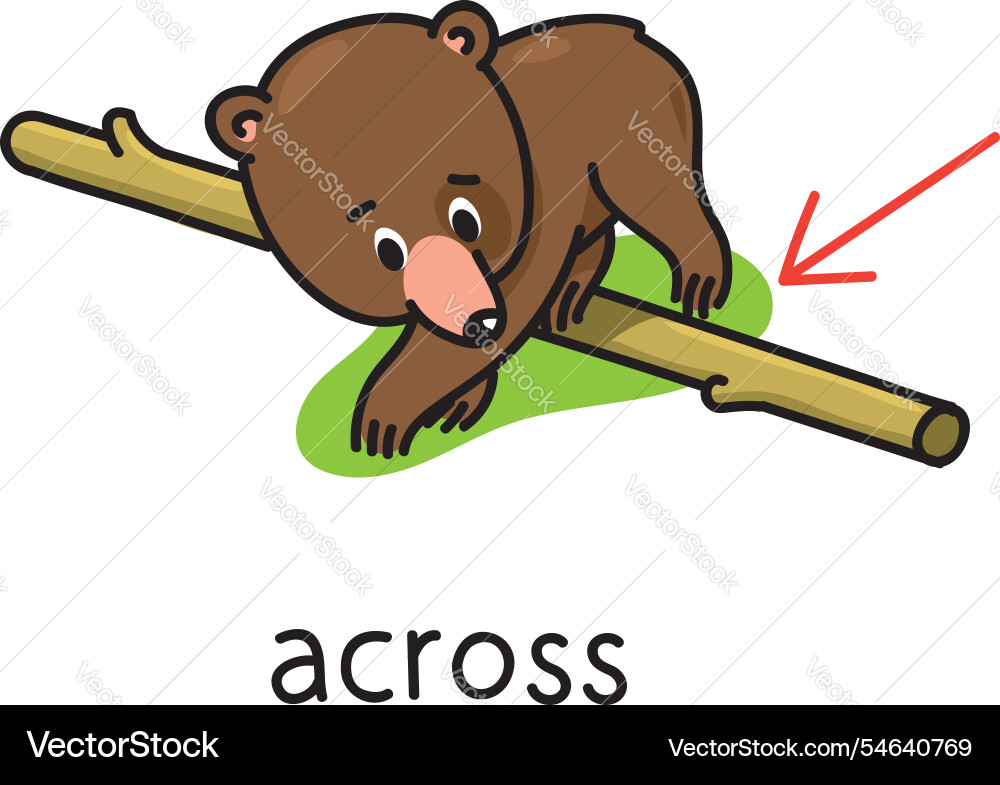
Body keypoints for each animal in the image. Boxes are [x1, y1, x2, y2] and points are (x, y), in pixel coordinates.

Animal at [207, 1, 731, 458]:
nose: (476, 318)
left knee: (660, 197)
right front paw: (460, 398)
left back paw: (698, 277)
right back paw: (570, 296)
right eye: (387, 250)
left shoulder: (539, 191)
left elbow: (512, 299)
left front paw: (384, 413)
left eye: (467, 218)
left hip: (640, 126)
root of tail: (635, 33)